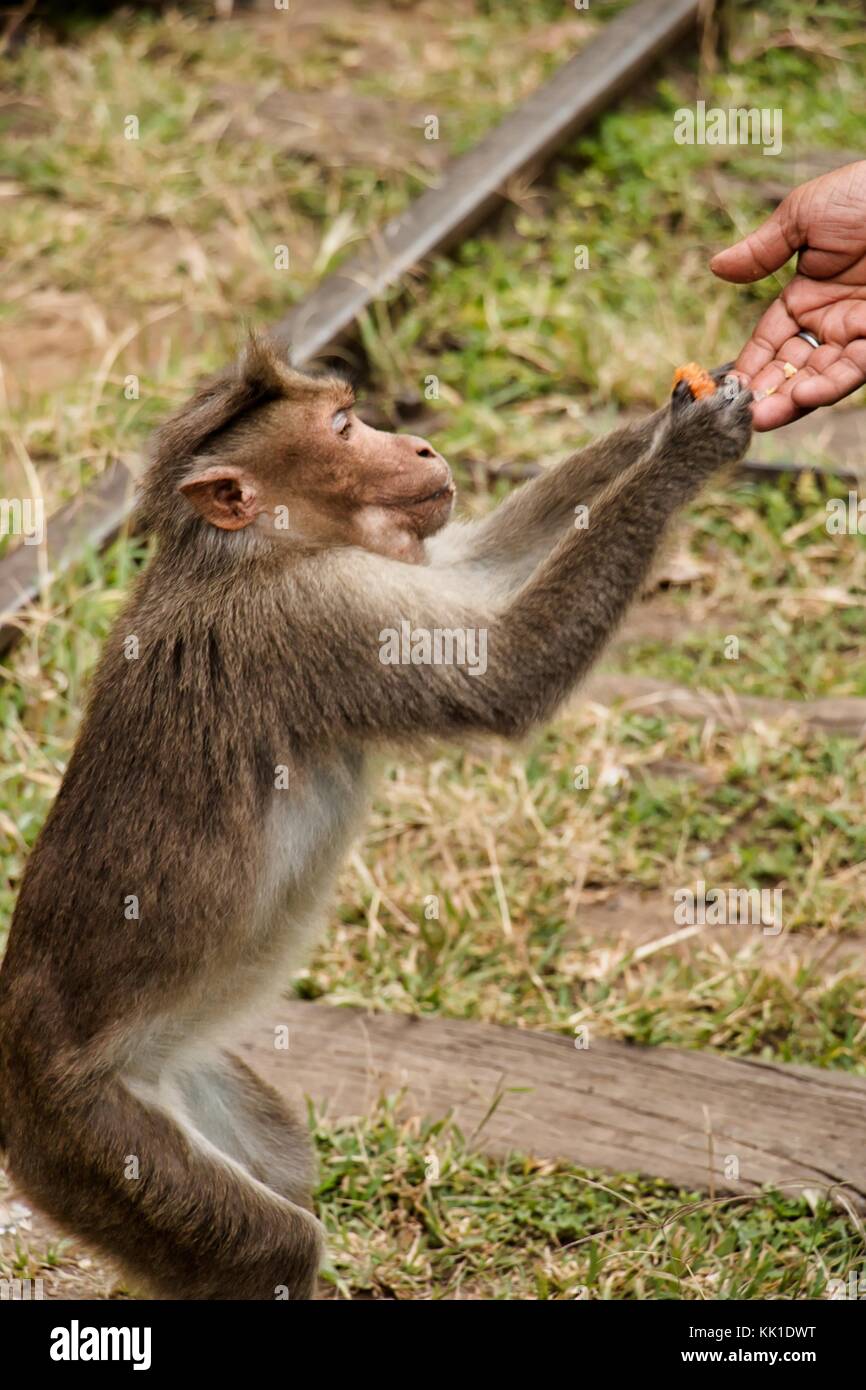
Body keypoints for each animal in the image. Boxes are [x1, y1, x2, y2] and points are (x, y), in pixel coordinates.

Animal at [0, 335, 752, 1299]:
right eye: (345, 428)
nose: (422, 446)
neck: (250, 551)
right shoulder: (318, 613)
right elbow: (505, 669)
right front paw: (690, 448)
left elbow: (476, 568)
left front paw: (676, 409)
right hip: (93, 1144)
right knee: (269, 1247)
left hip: (178, 1093)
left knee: (283, 1165)